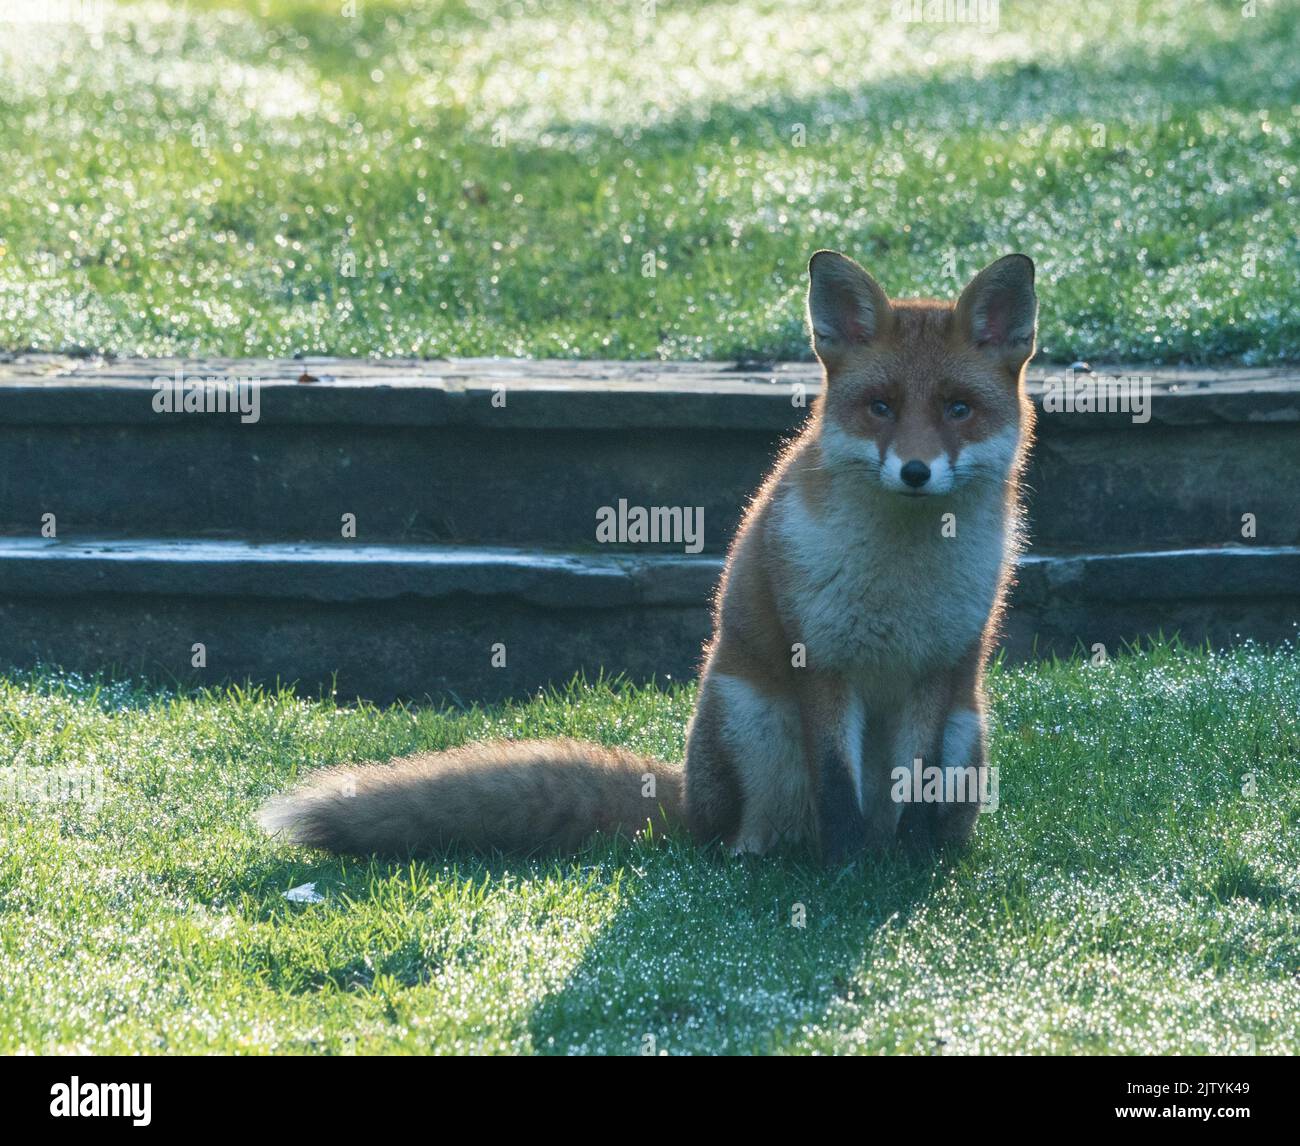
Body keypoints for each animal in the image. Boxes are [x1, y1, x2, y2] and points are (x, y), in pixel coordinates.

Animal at [258, 250, 1037, 865]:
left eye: (958, 409)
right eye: (880, 407)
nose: (915, 472)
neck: (900, 578)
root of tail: (687, 802)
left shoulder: (936, 670)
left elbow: (912, 792)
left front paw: (902, 872)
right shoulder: (820, 662)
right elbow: (839, 794)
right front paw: (847, 880)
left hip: (969, 734)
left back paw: (913, 857)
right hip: (750, 717)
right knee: (747, 840)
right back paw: (771, 860)